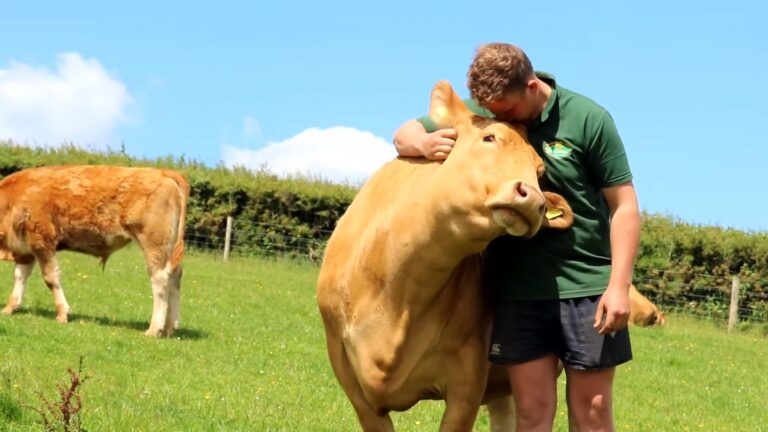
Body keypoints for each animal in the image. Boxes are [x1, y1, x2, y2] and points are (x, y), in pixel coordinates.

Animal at [0, 165, 189, 337]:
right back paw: (170, 328)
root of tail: (163, 172)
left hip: (154, 244)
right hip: (168, 248)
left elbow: (51, 278)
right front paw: (9, 308)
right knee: (175, 275)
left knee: (160, 279)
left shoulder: (42, 241)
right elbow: (20, 277)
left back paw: (154, 329)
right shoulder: (24, 250)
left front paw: (62, 313)